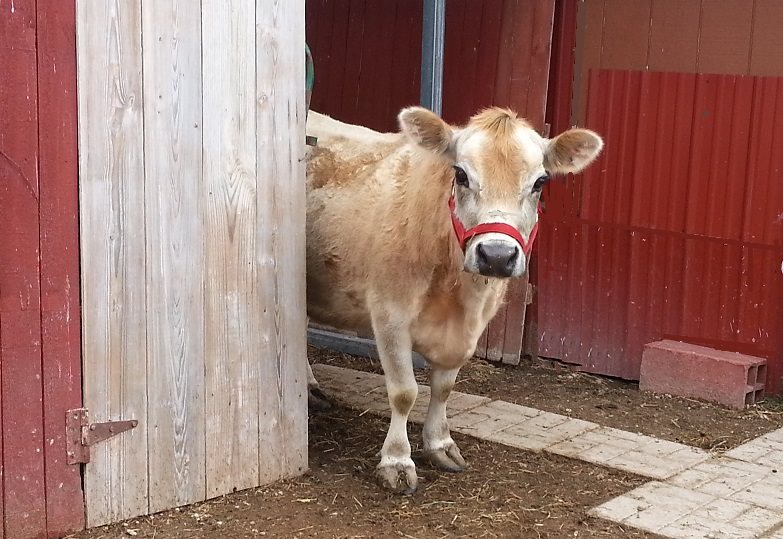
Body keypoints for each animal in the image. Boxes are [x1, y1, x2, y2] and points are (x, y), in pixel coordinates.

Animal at [305, 106, 603, 493]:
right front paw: (397, 461)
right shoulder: (389, 315)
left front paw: (440, 444)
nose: (496, 255)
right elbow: (404, 392)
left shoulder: (471, 328)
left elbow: (444, 388)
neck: (457, 295)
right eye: (460, 174)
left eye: (540, 182)